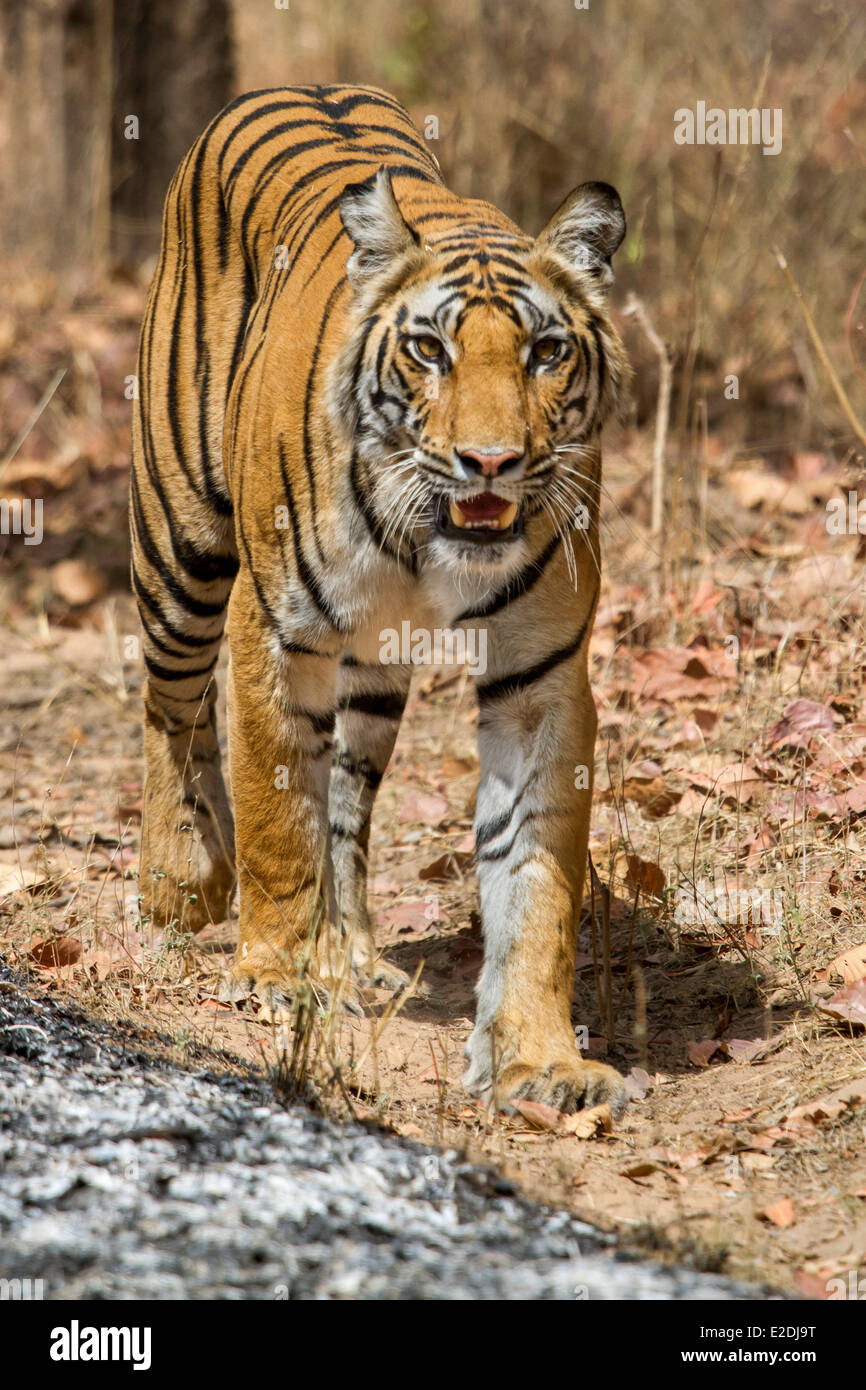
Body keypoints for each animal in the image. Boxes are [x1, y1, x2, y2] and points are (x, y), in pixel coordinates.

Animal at [131, 84, 631, 1117]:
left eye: (546, 351)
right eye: (430, 349)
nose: (492, 462)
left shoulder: (540, 677)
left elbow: (536, 876)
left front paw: (541, 1061)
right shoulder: (276, 633)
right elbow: (277, 810)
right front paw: (275, 977)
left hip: (373, 670)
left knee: (347, 804)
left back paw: (349, 954)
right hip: (181, 542)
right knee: (173, 703)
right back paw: (184, 880)